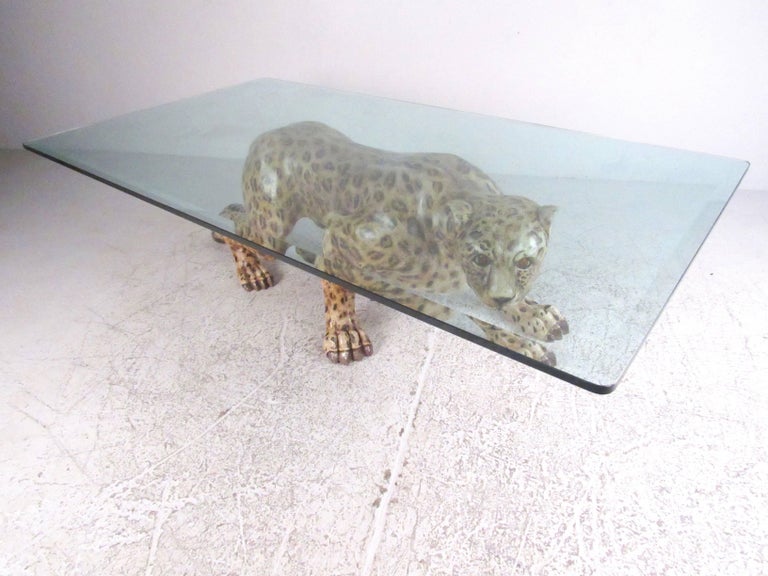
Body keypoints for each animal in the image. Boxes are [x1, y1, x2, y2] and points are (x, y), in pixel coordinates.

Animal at [217, 121, 568, 366]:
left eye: (524, 262)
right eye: (481, 259)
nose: (501, 298)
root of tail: (267, 134)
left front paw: (532, 318)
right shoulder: (342, 238)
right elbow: (340, 285)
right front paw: (344, 335)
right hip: (272, 230)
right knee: (242, 226)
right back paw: (245, 262)